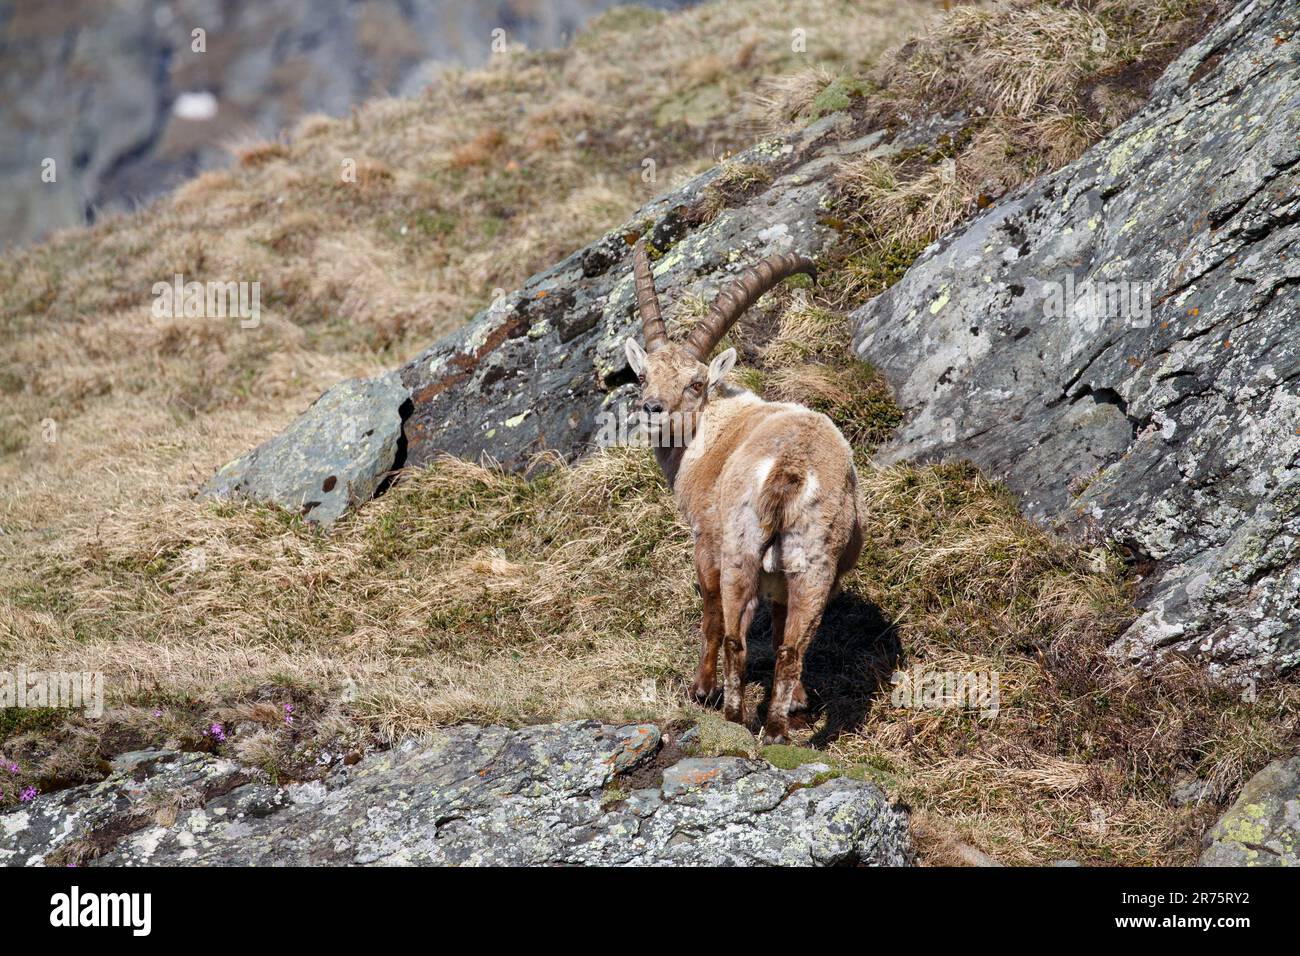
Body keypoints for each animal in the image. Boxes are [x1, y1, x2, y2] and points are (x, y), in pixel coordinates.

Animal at [623, 239, 863, 743]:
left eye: (695, 382)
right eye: (643, 376)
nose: (652, 409)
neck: (711, 428)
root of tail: (790, 468)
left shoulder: (705, 540)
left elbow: (710, 612)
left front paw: (700, 688)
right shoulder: (783, 583)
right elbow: (778, 631)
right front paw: (801, 705)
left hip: (739, 550)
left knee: (734, 634)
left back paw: (732, 718)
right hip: (815, 564)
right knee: (791, 648)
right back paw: (776, 728)